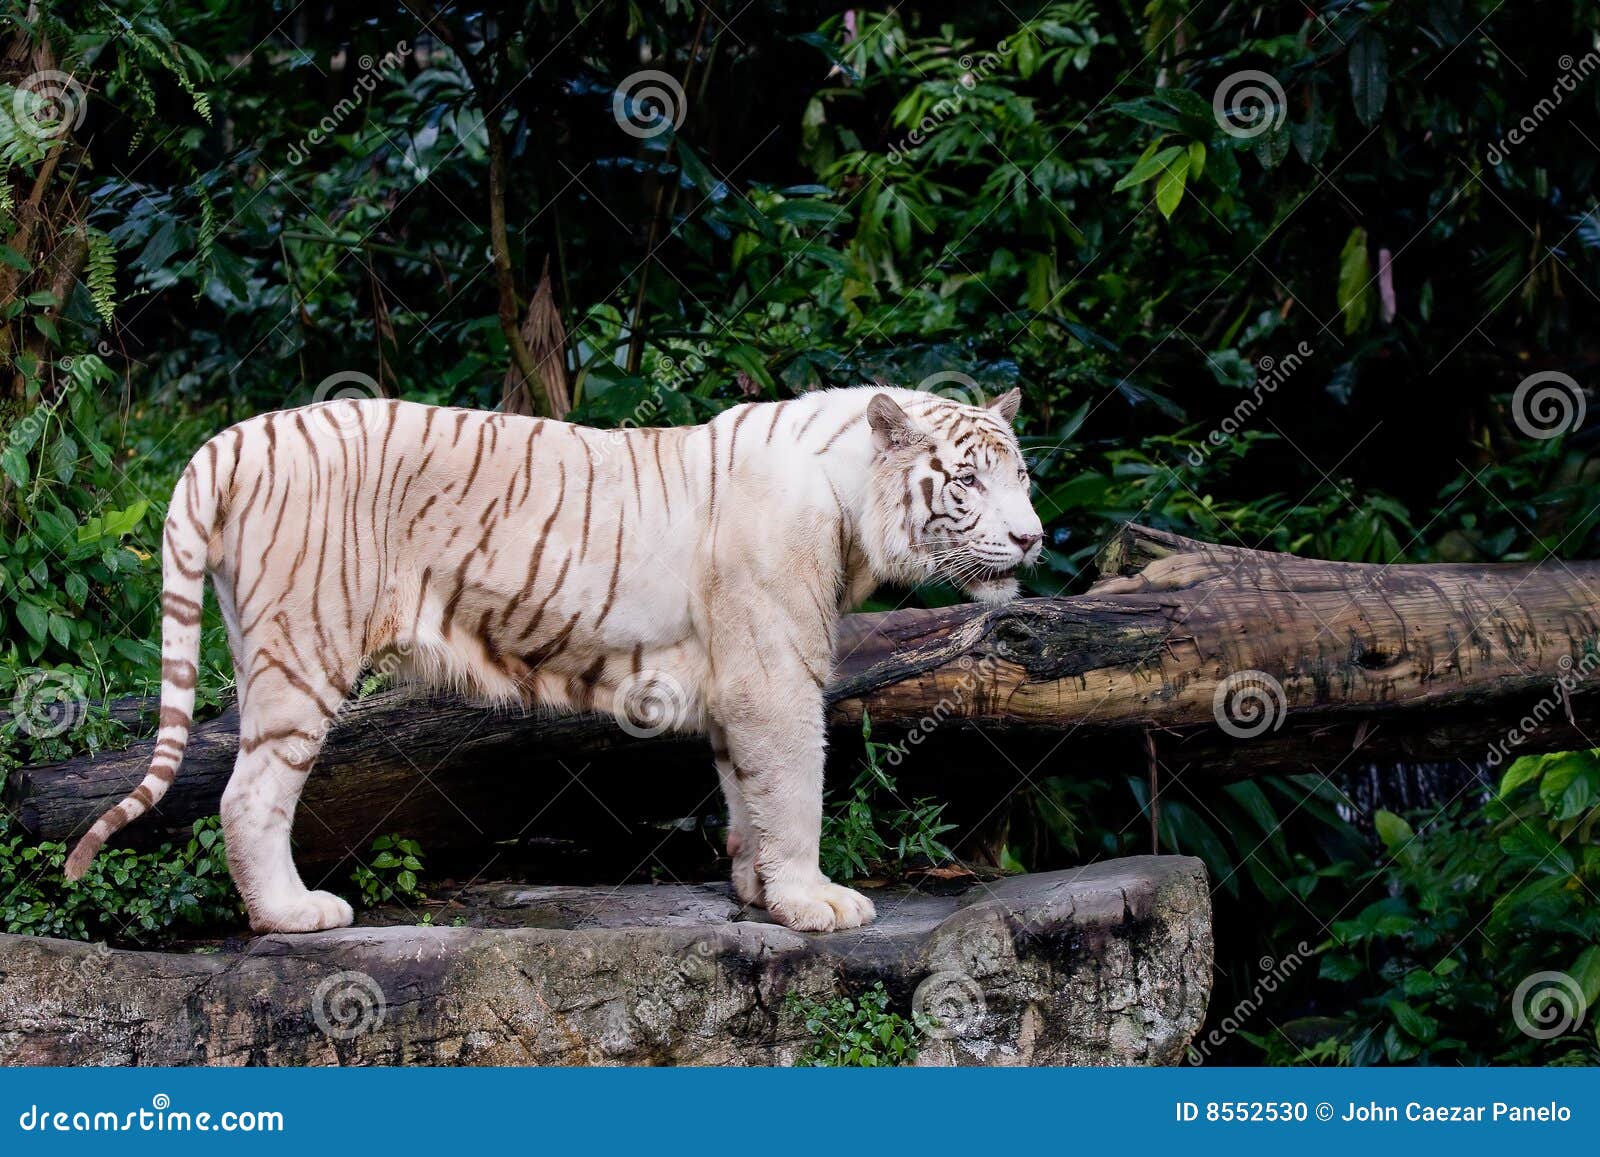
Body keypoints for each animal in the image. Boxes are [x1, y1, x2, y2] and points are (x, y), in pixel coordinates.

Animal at [64, 385, 1044, 934]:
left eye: (1023, 475)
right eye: (967, 480)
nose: (1034, 537)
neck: (851, 508)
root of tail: (234, 438)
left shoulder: (737, 683)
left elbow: (745, 793)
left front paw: (756, 892)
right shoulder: (776, 675)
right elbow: (797, 789)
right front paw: (815, 903)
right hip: (305, 649)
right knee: (248, 795)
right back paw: (291, 916)